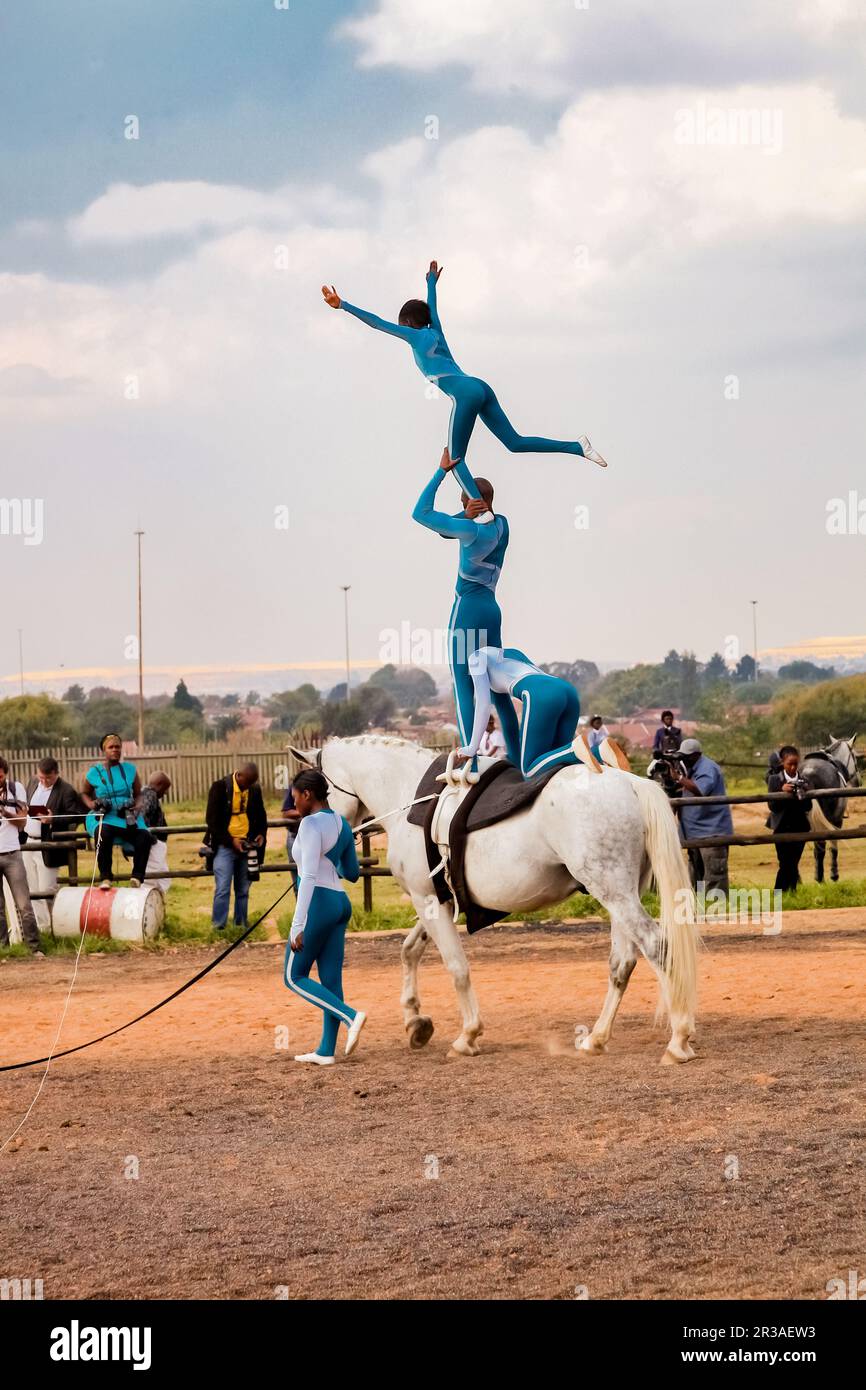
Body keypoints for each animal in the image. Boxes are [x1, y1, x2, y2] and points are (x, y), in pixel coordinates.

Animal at [290, 736, 699, 1065]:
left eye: (318, 791)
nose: (299, 830)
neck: (408, 795)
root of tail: (628, 782)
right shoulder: (437, 901)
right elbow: (410, 951)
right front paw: (416, 1022)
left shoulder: (429, 901)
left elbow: (456, 967)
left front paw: (467, 1036)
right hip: (619, 894)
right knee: (623, 962)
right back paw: (597, 1038)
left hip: (613, 892)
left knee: (657, 947)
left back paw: (678, 1040)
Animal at [800, 735, 859, 882]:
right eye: (855, 757)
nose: (858, 782)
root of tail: (807, 774)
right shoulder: (836, 821)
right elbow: (833, 845)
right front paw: (833, 874)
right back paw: (821, 878)